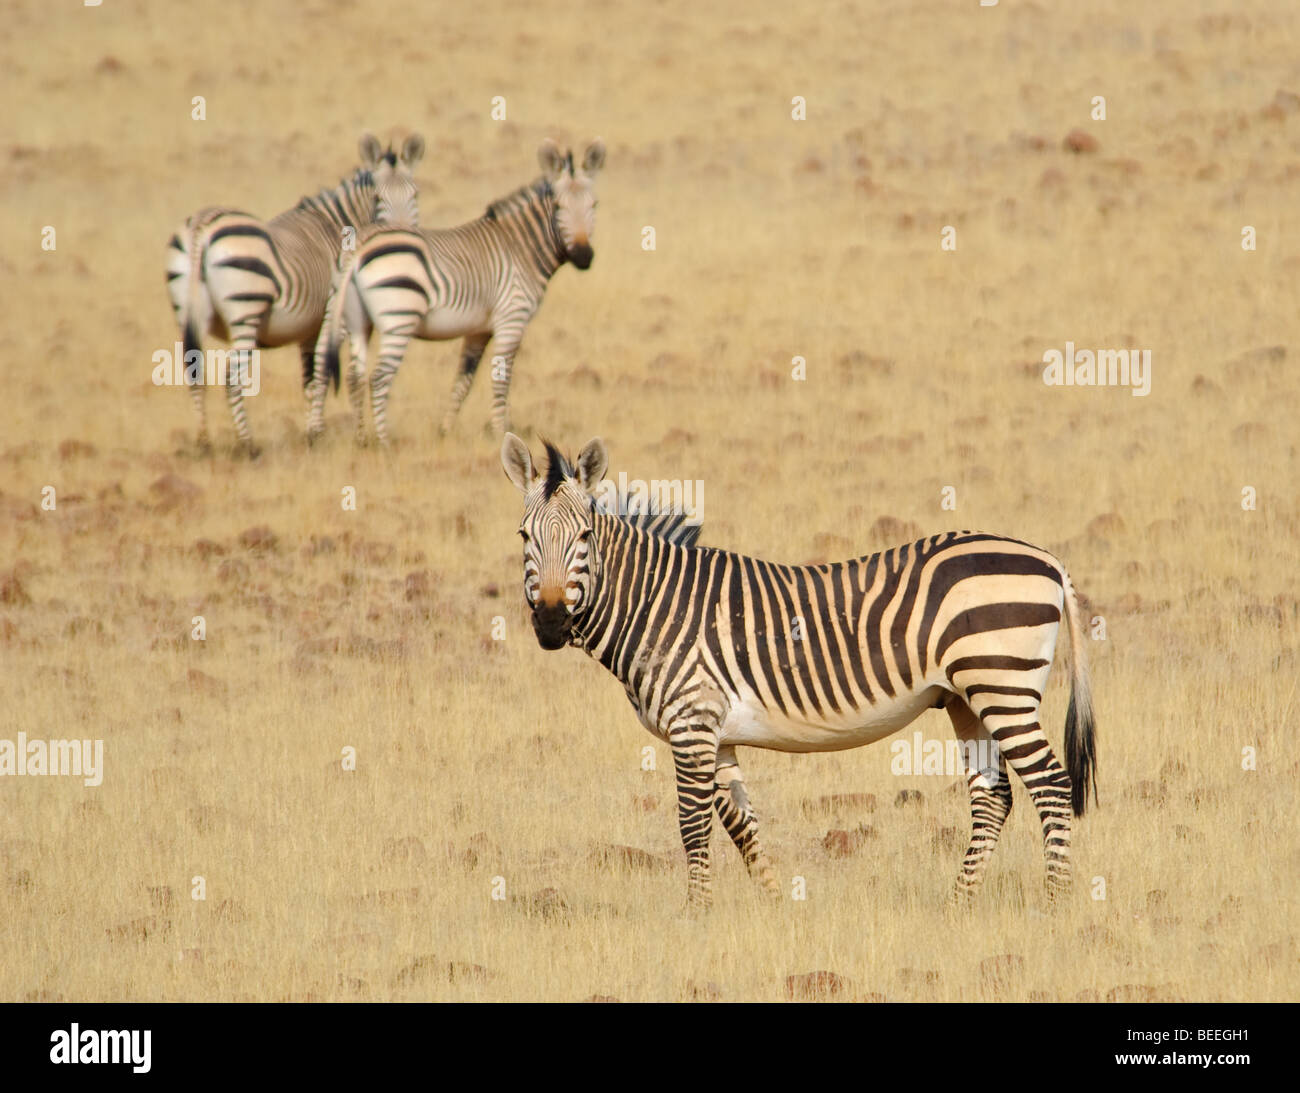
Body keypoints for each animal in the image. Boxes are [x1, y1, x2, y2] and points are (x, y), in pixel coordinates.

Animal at [165, 131, 424, 456]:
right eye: (377, 197)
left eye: (415, 195)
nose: (400, 236)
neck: (335, 226)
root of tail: (203, 224)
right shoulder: (332, 317)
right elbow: (323, 372)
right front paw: (316, 433)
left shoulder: (307, 330)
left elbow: (309, 378)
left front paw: (311, 433)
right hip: (246, 309)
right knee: (232, 376)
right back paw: (248, 446)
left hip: (185, 310)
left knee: (194, 373)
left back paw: (204, 444)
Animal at [305, 139, 605, 446]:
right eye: (558, 206)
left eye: (594, 204)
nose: (584, 256)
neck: (520, 247)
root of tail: (361, 247)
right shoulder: (512, 320)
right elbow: (501, 380)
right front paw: (501, 432)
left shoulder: (479, 330)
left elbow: (464, 380)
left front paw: (445, 430)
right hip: (399, 318)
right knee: (377, 378)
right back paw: (383, 442)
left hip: (356, 317)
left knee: (351, 373)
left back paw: (359, 439)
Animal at [500, 434, 1098, 911]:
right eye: (524, 537)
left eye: (584, 538)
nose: (550, 621)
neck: (655, 604)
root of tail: (1048, 558)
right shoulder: (717, 733)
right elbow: (741, 824)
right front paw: (776, 905)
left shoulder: (692, 723)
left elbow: (692, 825)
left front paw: (696, 915)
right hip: (965, 697)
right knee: (993, 797)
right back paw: (958, 904)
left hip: (1002, 684)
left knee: (1051, 783)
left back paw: (1055, 903)